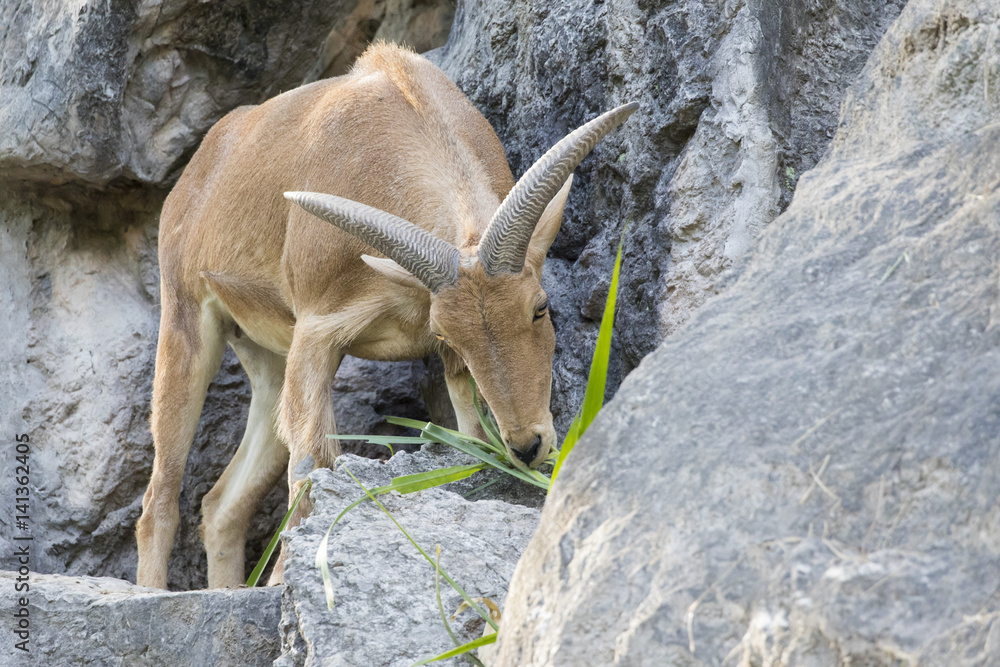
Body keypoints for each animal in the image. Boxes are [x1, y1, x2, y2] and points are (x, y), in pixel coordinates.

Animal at [135, 42, 636, 589]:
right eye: (448, 333)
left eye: (540, 308)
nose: (528, 446)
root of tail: (196, 171)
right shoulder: (318, 329)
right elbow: (312, 460)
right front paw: (290, 576)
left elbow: (468, 433)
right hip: (186, 319)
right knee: (159, 498)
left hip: (265, 357)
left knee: (221, 503)